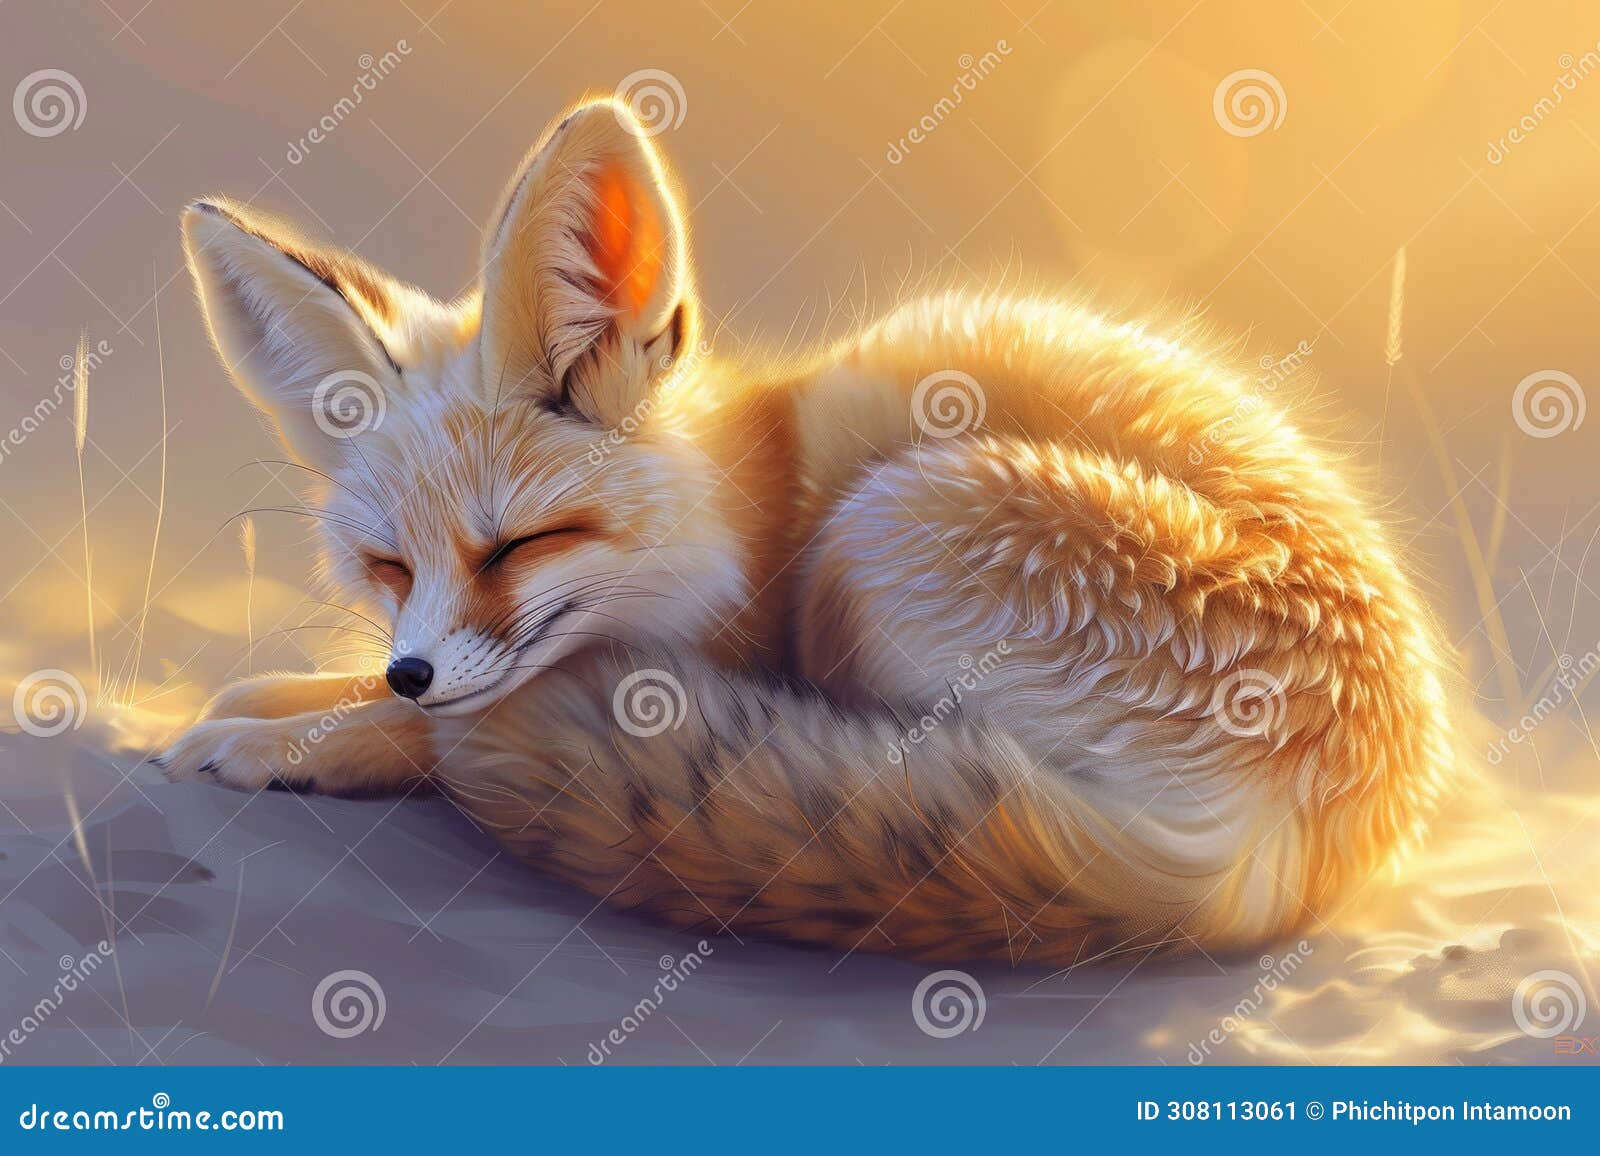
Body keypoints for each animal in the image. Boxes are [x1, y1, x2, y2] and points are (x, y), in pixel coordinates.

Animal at [162, 95, 1456, 965]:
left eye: (516, 547)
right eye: (385, 564)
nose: (412, 669)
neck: (759, 492)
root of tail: (1294, 843)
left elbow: (436, 727)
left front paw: (300, 737)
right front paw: (289, 697)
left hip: (882, 530)